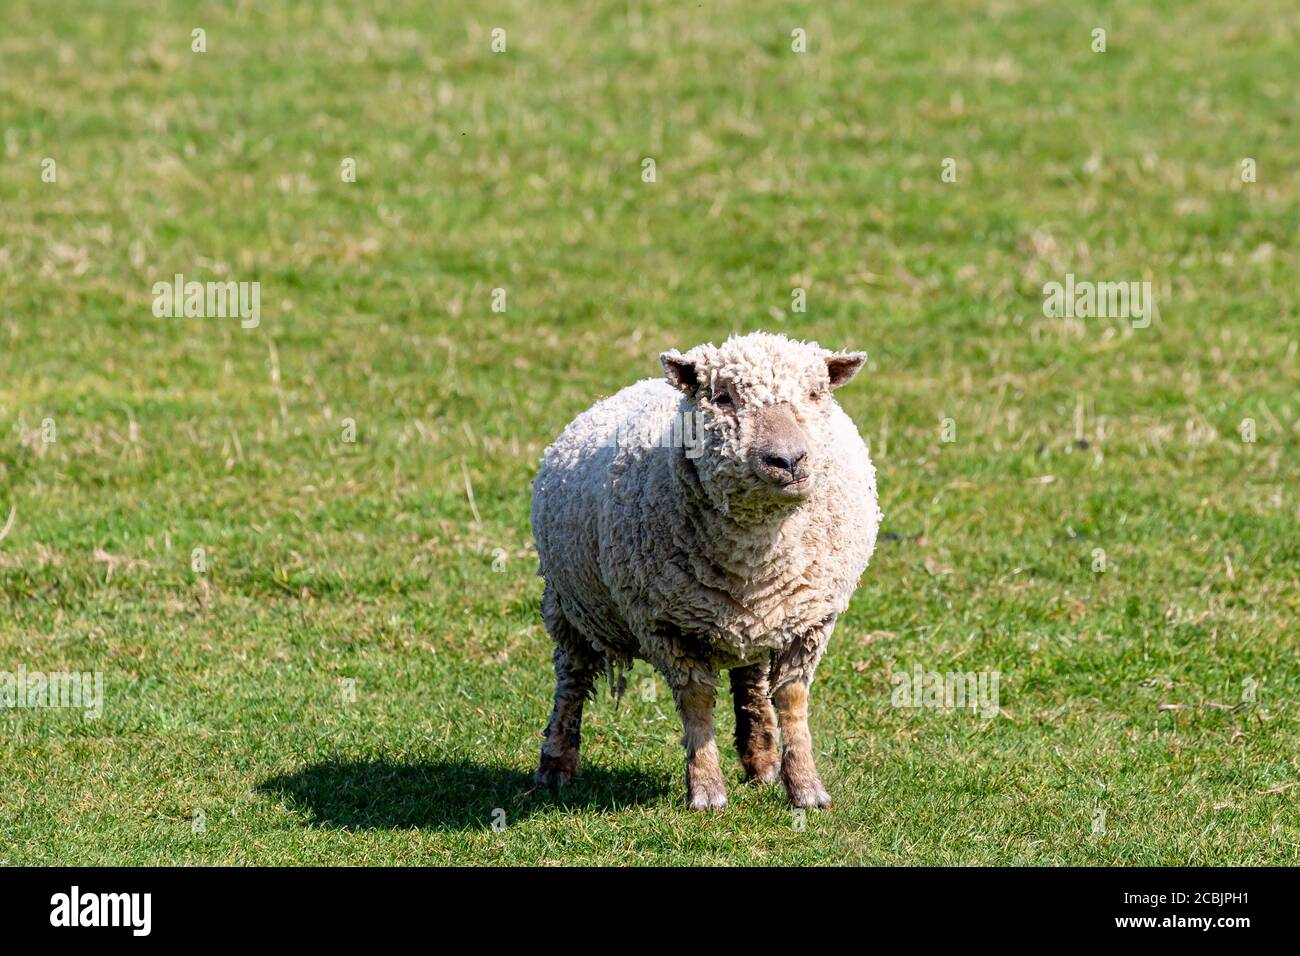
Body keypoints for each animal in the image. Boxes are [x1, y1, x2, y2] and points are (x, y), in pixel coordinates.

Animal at [530, 331, 881, 810]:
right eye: (723, 397)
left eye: (815, 393)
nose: (789, 460)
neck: (757, 554)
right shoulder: (666, 625)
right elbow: (696, 702)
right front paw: (707, 789)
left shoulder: (810, 621)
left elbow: (792, 701)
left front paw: (806, 787)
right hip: (569, 608)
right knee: (572, 678)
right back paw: (556, 763)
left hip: (762, 623)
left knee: (751, 683)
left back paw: (762, 760)